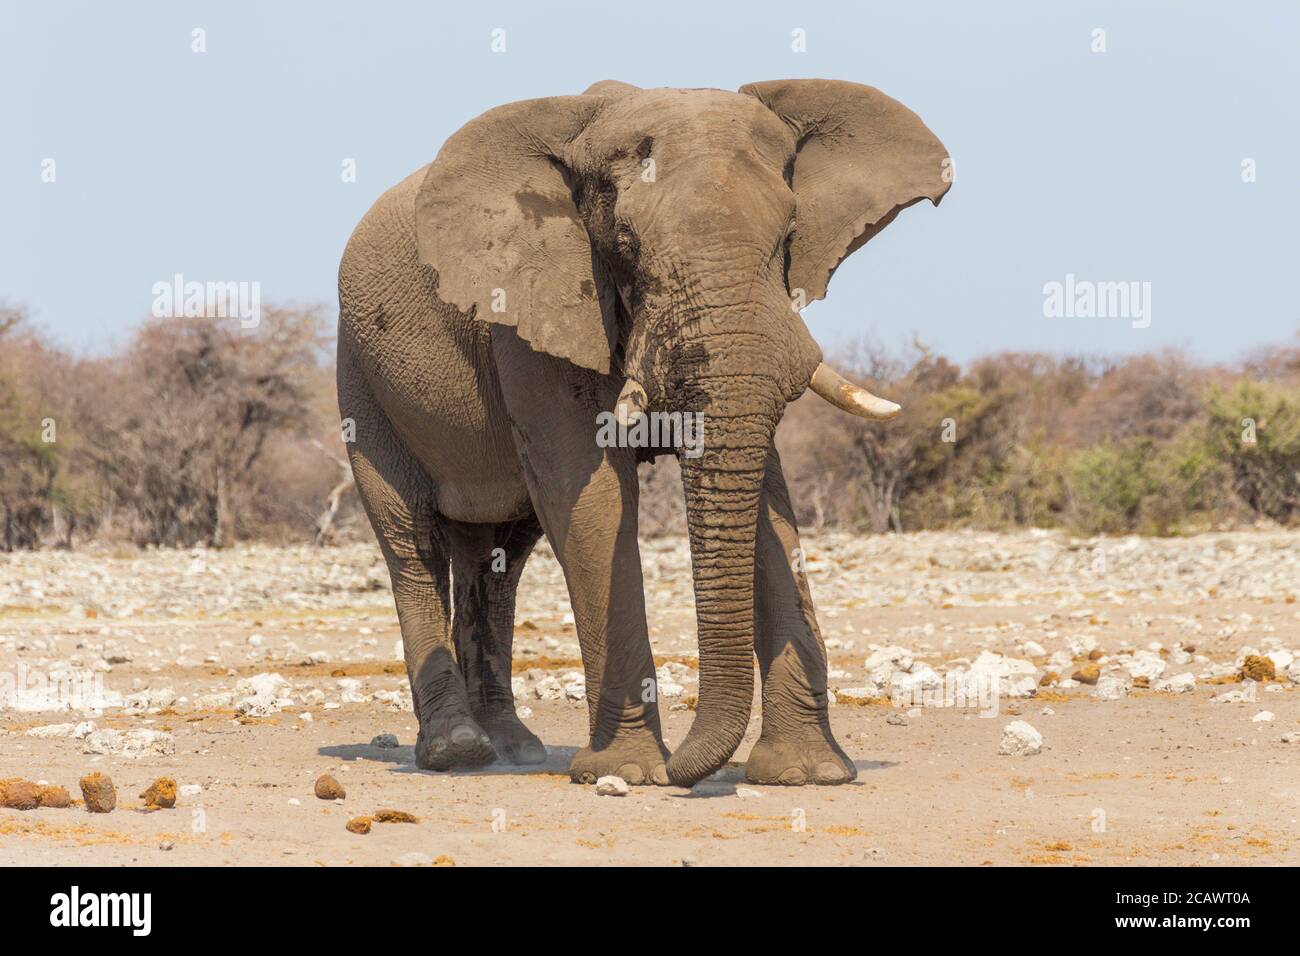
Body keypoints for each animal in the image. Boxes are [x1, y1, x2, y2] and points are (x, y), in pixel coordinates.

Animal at [337, 78, 950, 787]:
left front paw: (808, 774)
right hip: (360, 378)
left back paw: (514, 749)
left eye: (788, 233)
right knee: (413, 545)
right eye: (624, 245)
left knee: (498, 558)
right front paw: (631, 772)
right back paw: (457, 751)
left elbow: (767, 497)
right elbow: (592, 497)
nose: (694, 768)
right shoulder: (532, 311)